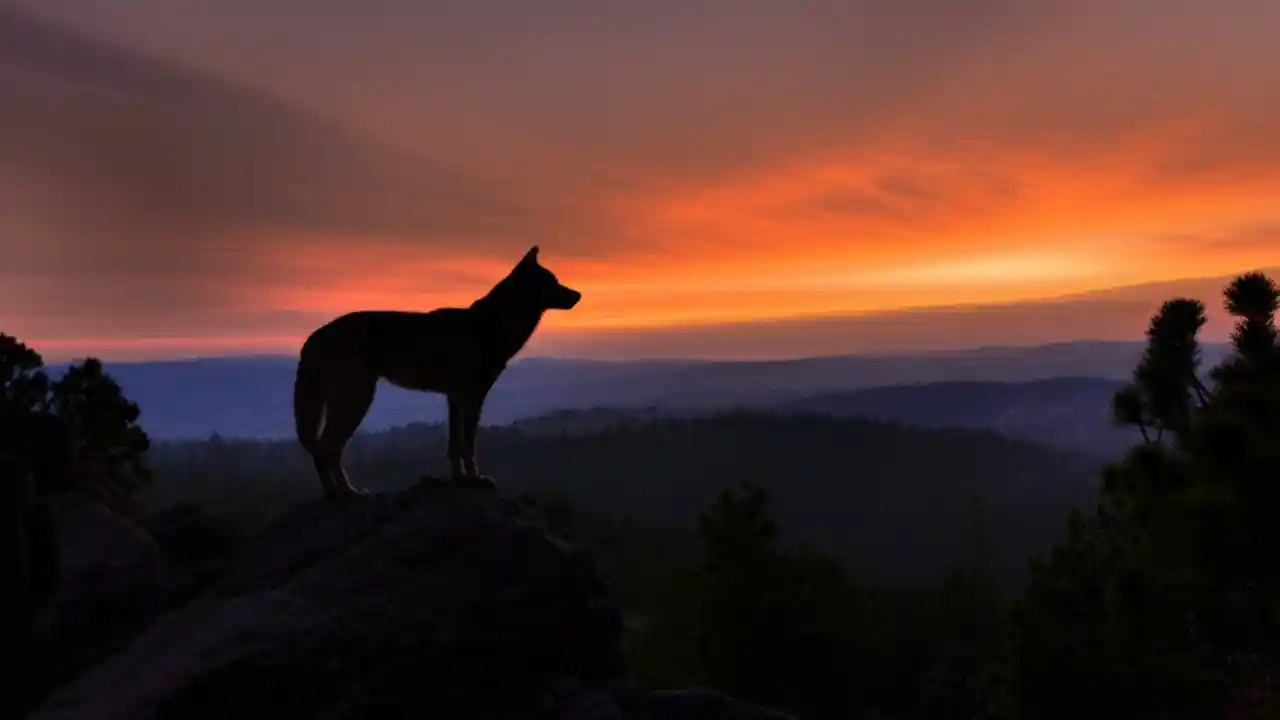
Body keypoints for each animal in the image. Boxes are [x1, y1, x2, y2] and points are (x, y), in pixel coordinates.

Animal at [293, 246, 580, 498]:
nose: (578, 295)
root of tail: (315, 335)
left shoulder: (455, 398)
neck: (491, 325)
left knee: (325, 449)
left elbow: (454, 446)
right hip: (356, 401)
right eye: (552, 281)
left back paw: (339, 492)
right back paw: (343, 493)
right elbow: (468, 445)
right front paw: (475, 479)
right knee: (327, 448)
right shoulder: (474, 397)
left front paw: (460, 479)